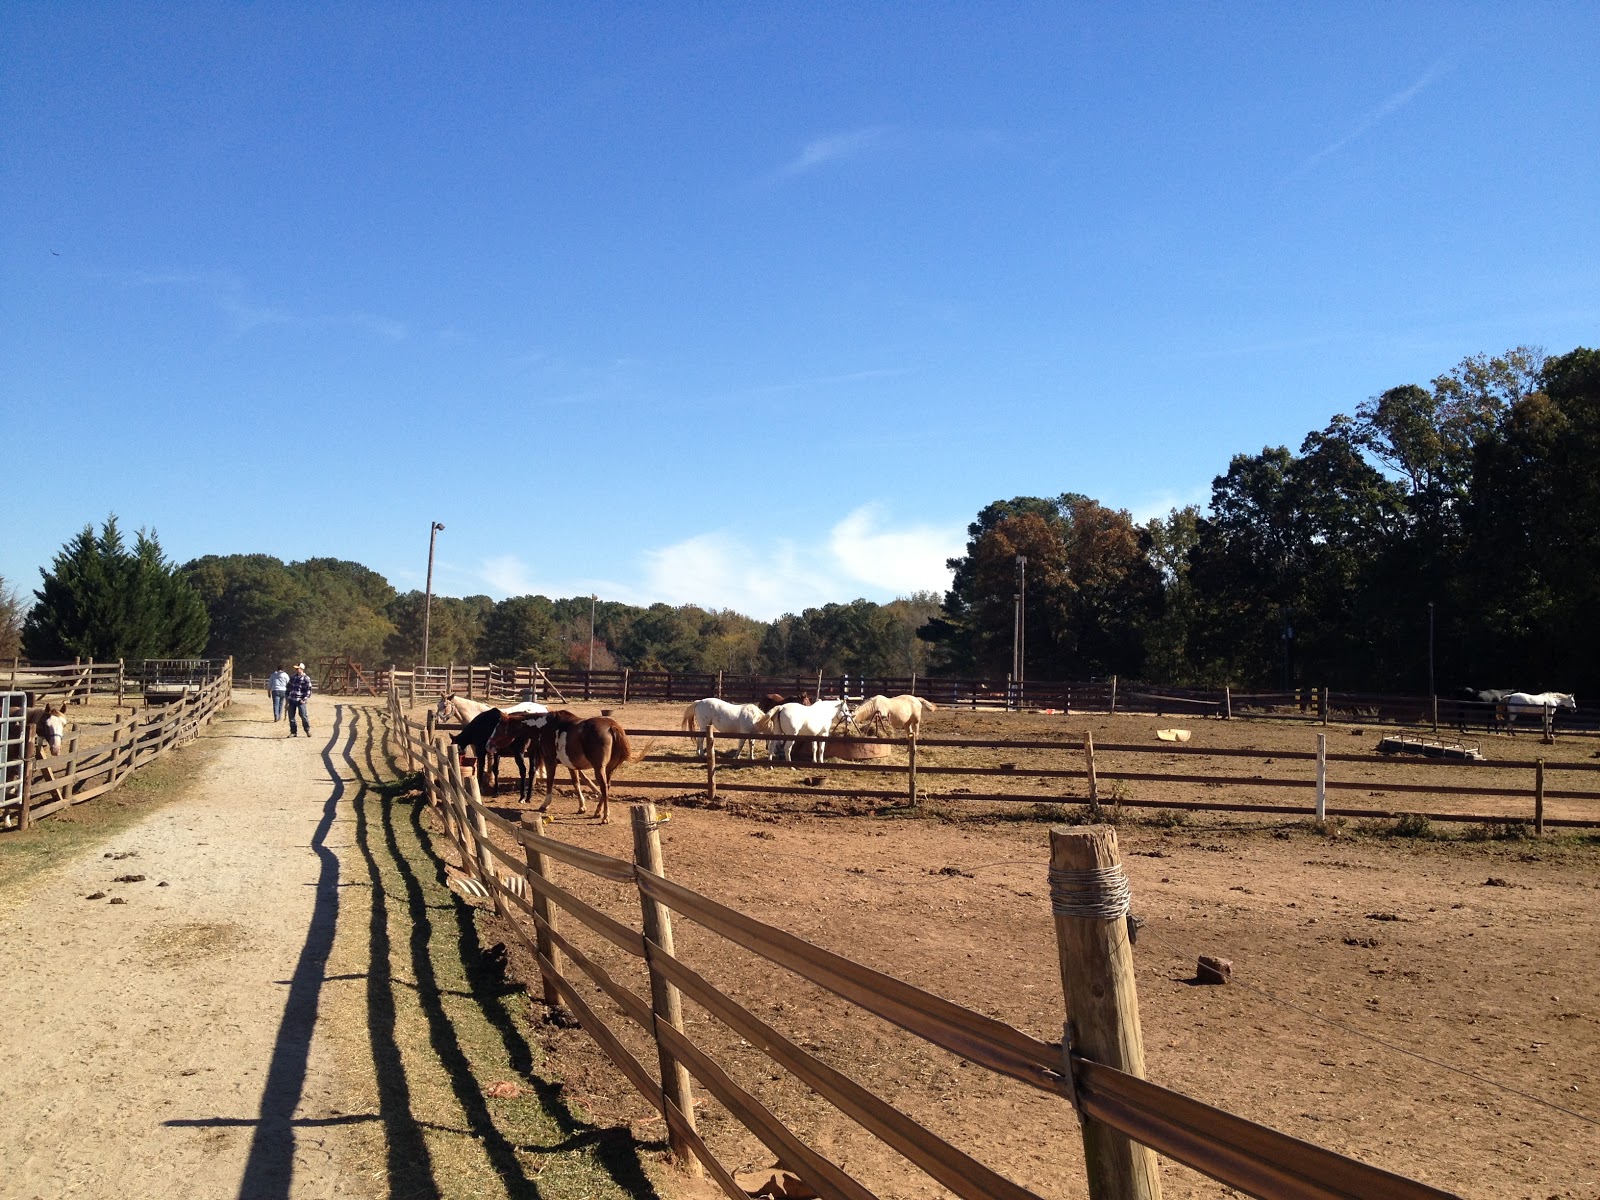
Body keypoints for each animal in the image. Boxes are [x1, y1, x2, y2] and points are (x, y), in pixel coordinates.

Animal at [493, 710, 634, 824]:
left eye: (498, 728)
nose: (489, 745)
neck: (544, 726)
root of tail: (612, 726)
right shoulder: (571, 766)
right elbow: (576, 784)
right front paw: (581, 807)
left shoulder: (550, 761)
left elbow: (550, 782)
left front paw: (545, 804)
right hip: (609, 769)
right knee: (607, 787)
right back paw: (597, 811)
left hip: (599, 768)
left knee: (604, 788)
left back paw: (605, 816)